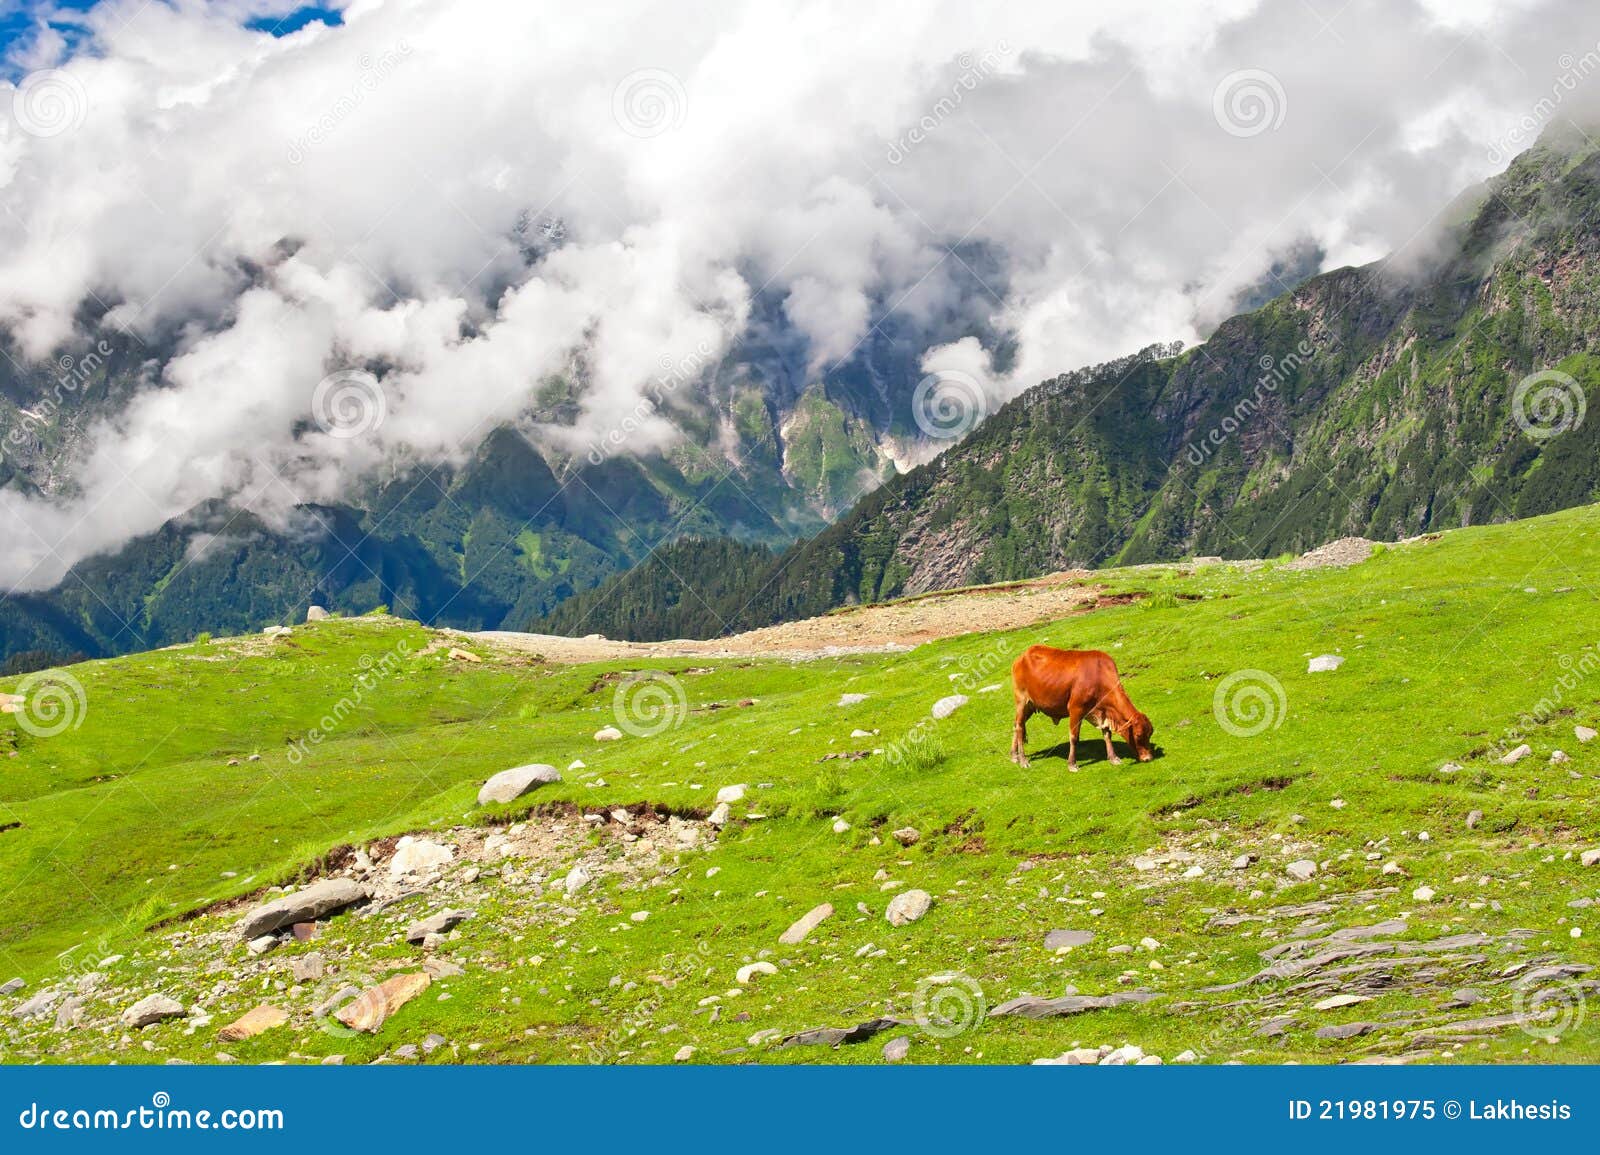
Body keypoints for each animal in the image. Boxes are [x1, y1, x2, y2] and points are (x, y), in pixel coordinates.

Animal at [1010, 644, 1154, 770]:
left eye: (1150, 733)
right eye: (1138, 735)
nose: (1148, 758)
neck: (1099, 675)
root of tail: (1022, 656)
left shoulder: (1101, 712)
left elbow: (1107, 733)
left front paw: (1113, 757)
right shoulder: (1076, 709)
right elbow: (1074, 737)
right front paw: (1072, 764)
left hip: (1031, 705)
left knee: (1017, 725)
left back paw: (1014, 755)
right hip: (1022, 701)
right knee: (1019, 727)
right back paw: (1023, 760)